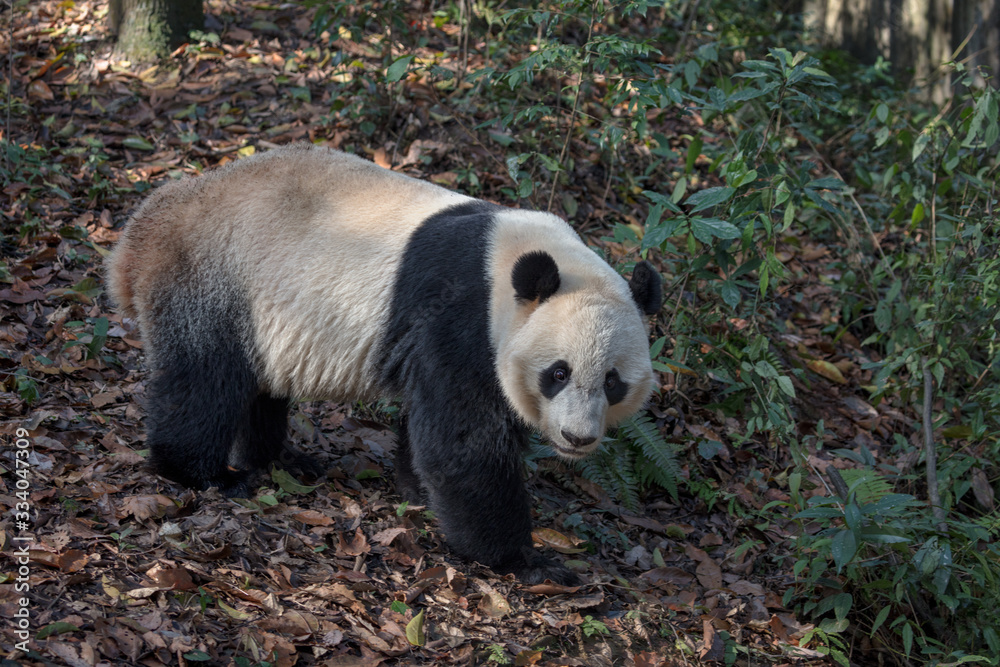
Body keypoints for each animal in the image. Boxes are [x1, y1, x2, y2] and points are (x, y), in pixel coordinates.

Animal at [107, 143, 662, 585]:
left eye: (613, 382)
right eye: (558, 373)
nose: (577, 438)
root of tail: (142, 231)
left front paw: (417, 490)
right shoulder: (462, 313)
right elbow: (464, 440)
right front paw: (525, 560)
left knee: (258, 385)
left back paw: (279, 460)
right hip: (213, 274)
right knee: (203, 378)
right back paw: (204, 473)